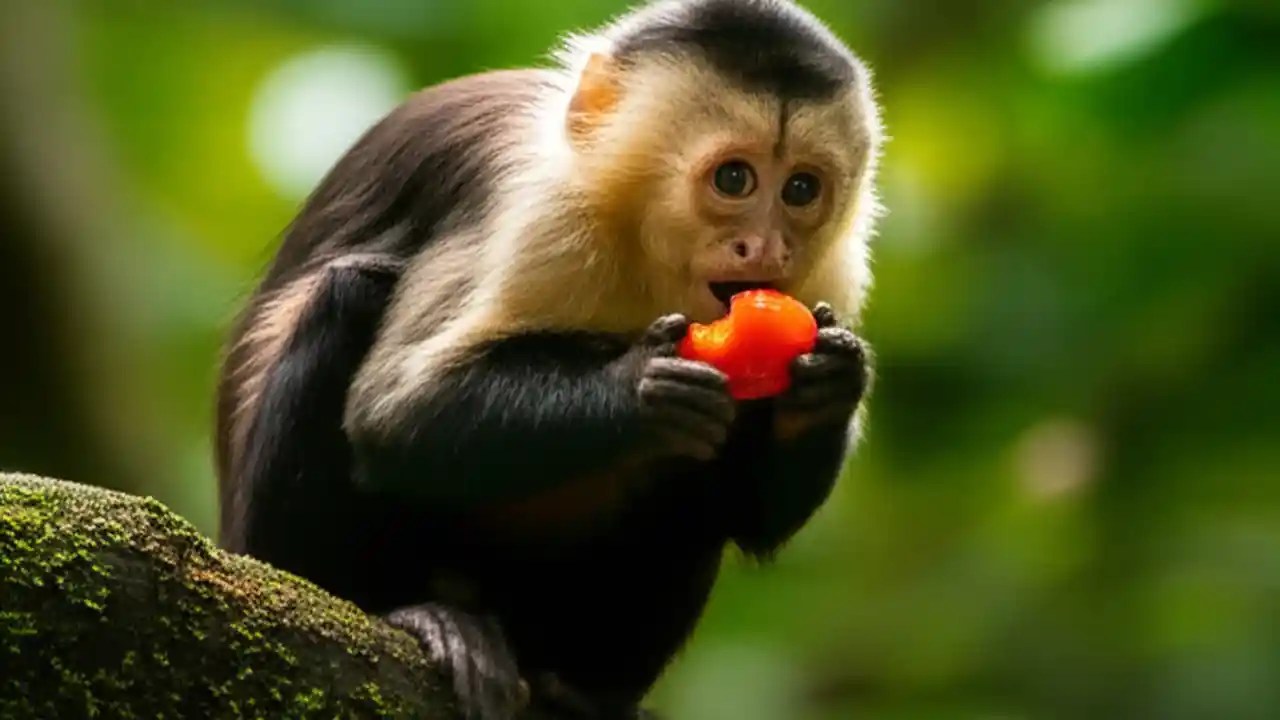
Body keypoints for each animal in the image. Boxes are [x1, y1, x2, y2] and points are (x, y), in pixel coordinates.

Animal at [214, 0, 883, 718]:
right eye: (735, 179)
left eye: (801, 190)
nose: (764, 247)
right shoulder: (537, 212)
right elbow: (393, 417)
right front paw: (639, 389)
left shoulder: (832, 274)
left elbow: (755, 520)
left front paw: (830, 385)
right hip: (264, 548)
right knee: (349, 293)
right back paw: (407, 612)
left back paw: (584, 689)